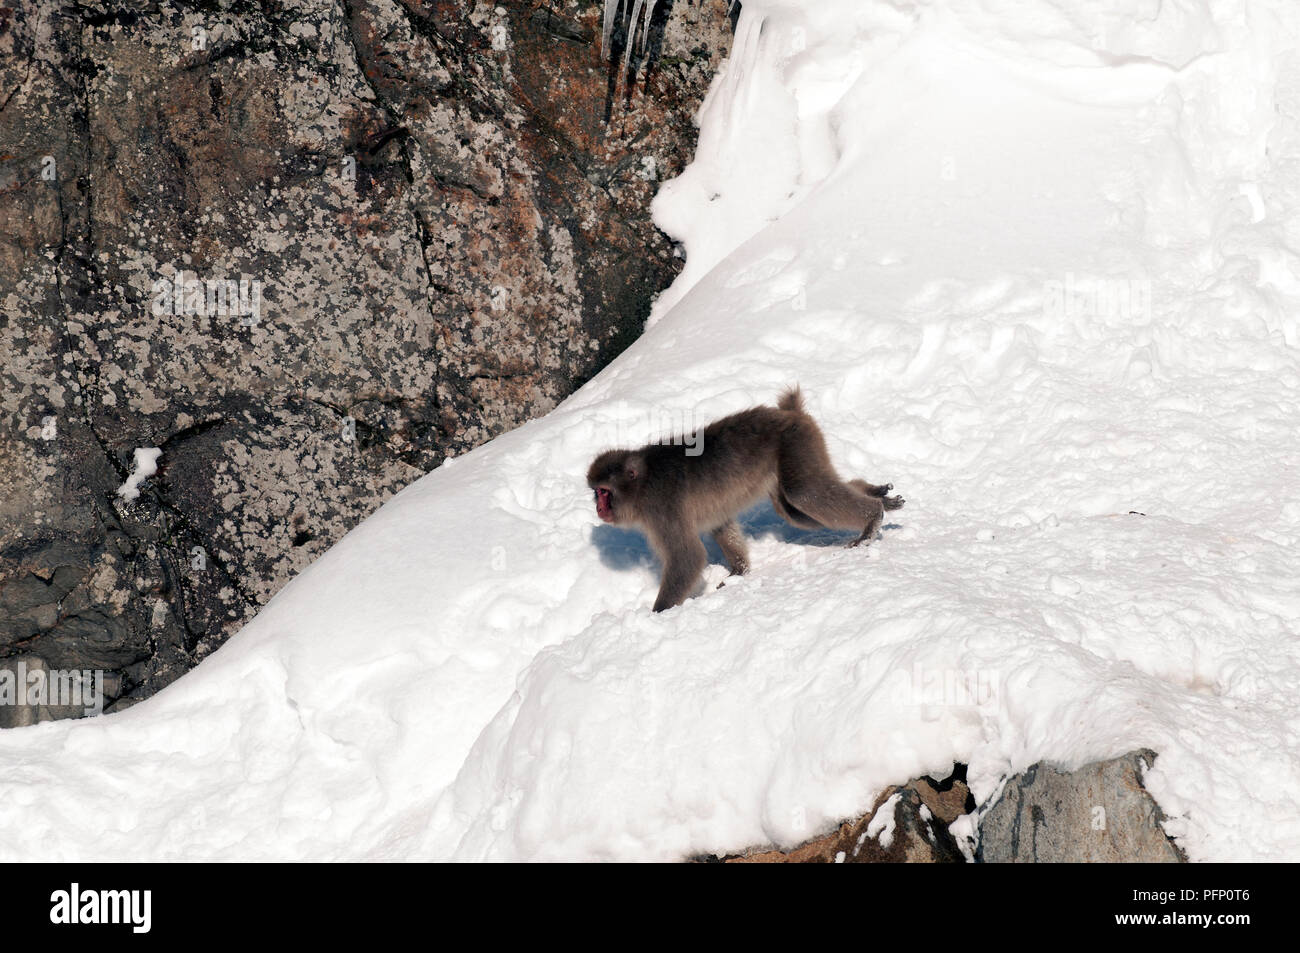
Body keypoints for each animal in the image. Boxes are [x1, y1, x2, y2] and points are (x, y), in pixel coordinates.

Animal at [587, 387, 904, 612]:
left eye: (604, 492)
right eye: (595, 493)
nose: (599, 508)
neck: (641, 484)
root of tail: (789, 413)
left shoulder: (660, 507)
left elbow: (688, 556)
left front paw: (658, 613)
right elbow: (720, 525)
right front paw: (740, 571)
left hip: (795, 443)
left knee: (804, 492)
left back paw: (872, 519)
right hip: (796, 452)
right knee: (797, 509)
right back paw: (877, 496)